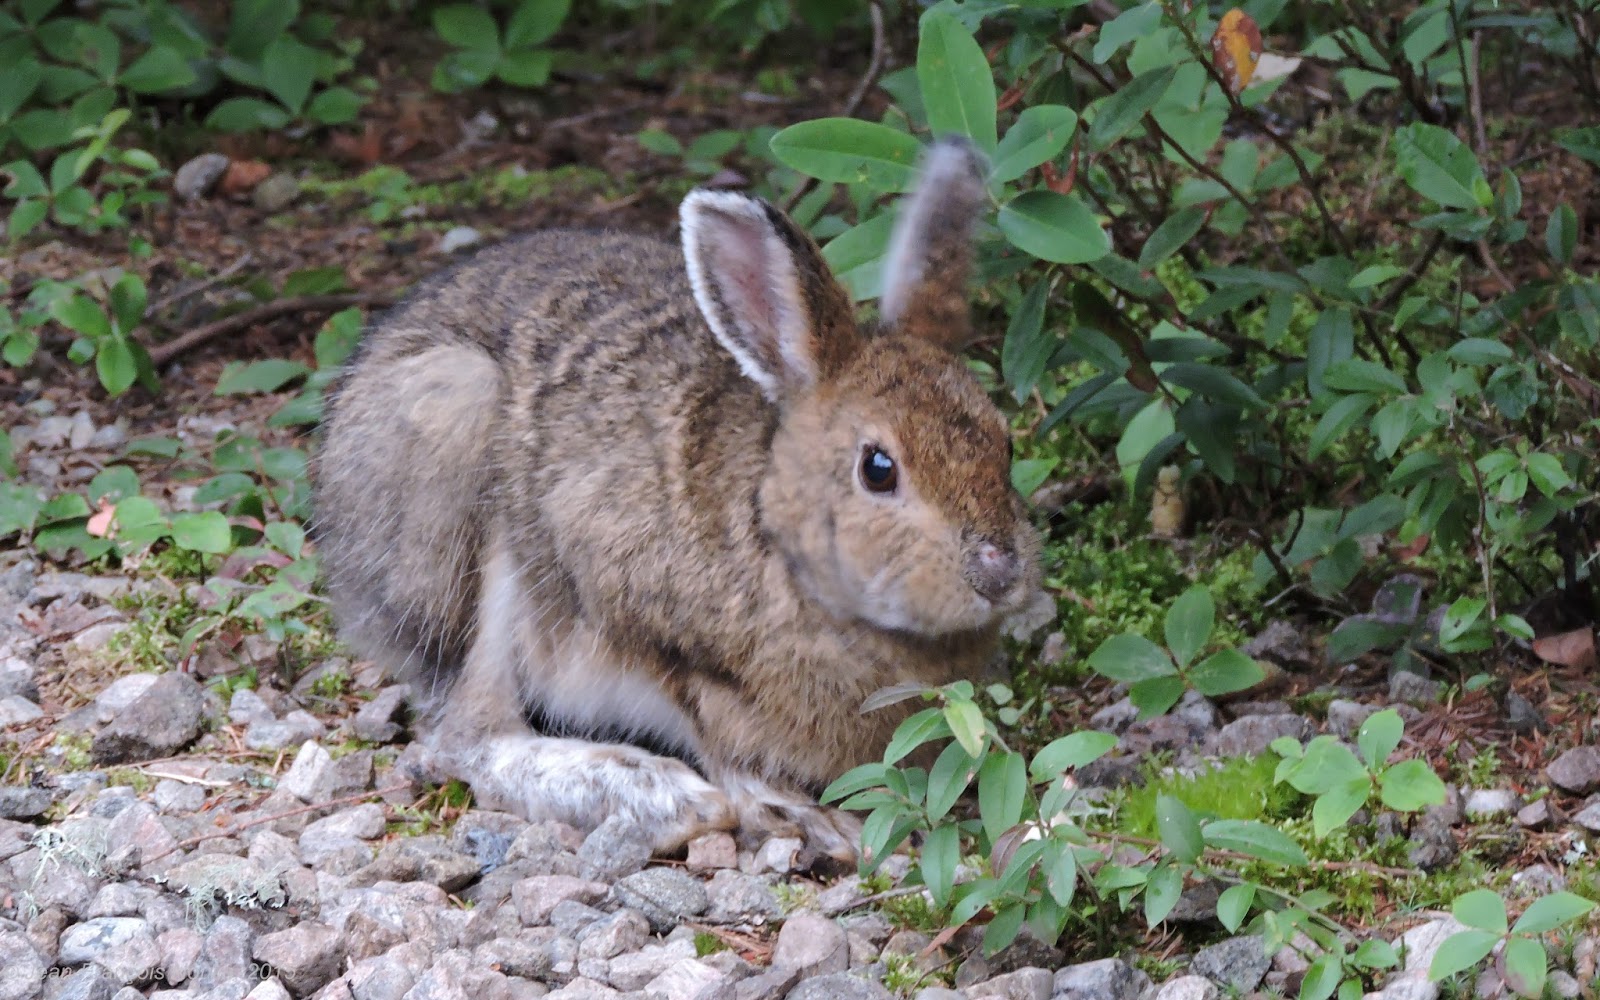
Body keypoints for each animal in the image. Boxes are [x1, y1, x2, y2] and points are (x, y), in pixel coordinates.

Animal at [312, 136, 1042, 859]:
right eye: (879, 469)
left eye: (1006, 446)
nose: (999, 571)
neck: (777, 540)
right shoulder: (638, 615)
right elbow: (717, 739)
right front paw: (805, 819)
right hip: (459, 445)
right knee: (466, 731)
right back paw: (658, 795)